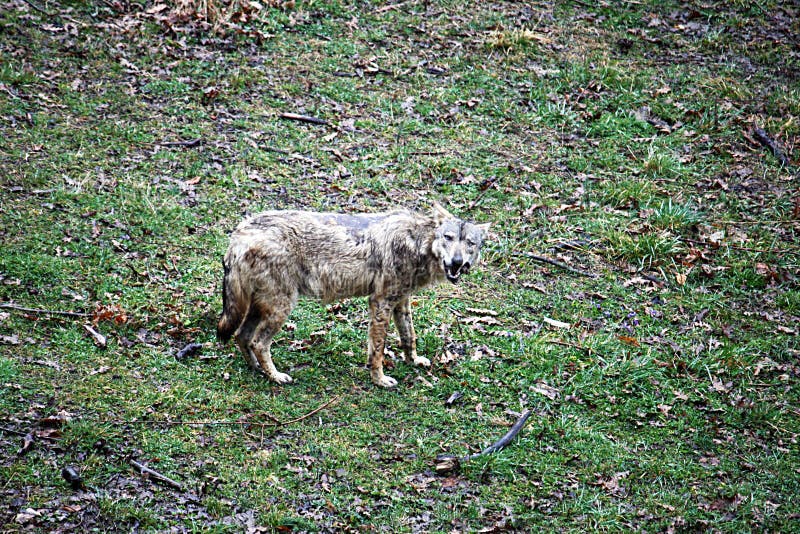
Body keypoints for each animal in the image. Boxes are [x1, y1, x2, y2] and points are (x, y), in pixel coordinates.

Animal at [217, 202, 490, 388]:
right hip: (281, 308)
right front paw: (379, 380)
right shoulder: (380, 302)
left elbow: (408, 337)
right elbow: (378, 349)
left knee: (242, 336)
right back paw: (275, 376)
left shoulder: (401, 301)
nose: (457, 262)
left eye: (470, 243)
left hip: (260, 307)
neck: (416, 242)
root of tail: (238, 234)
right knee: (258, 342)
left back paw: (256, 369)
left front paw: (413, 361)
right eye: (448, 237)